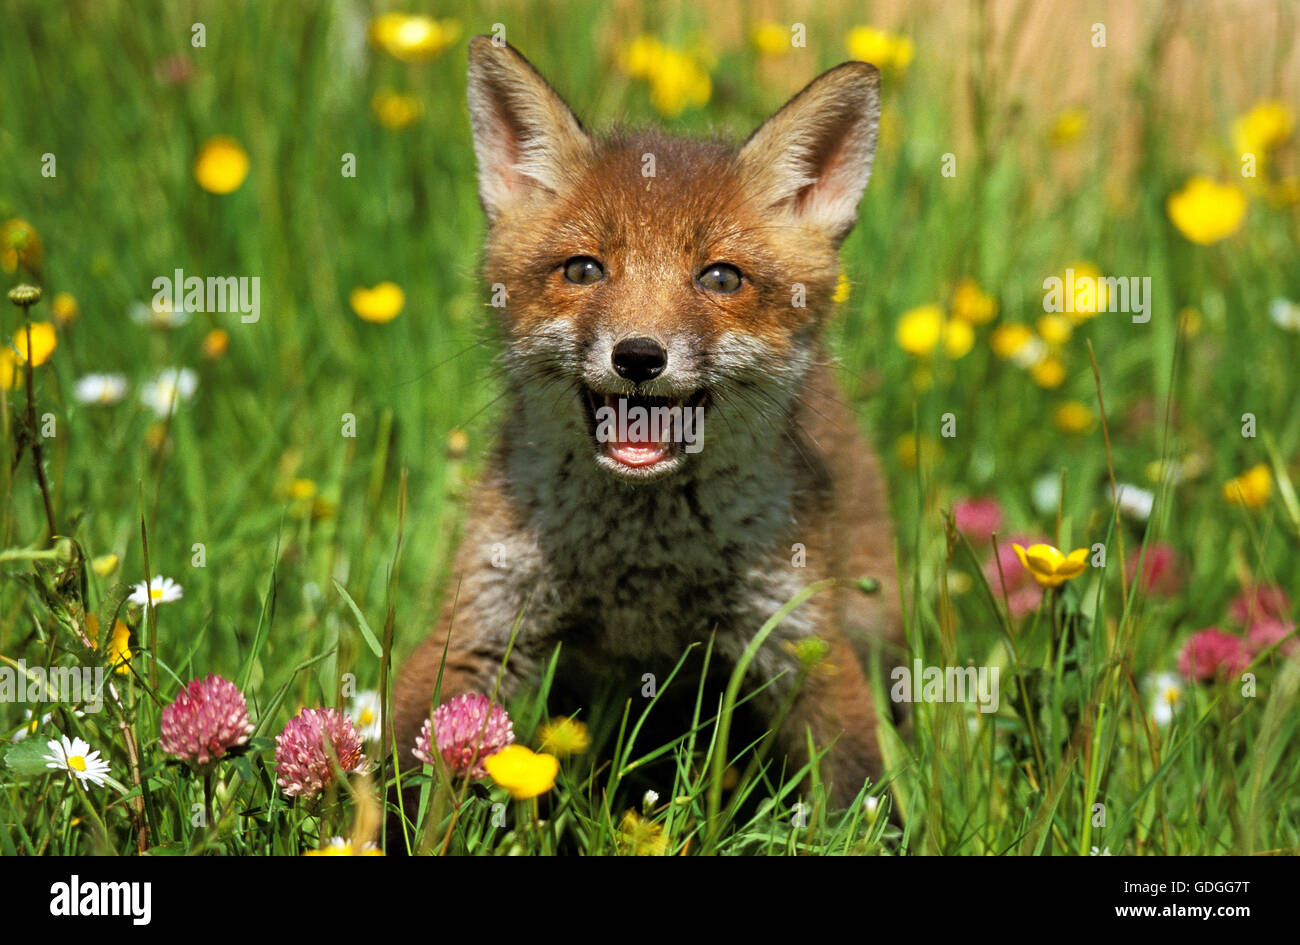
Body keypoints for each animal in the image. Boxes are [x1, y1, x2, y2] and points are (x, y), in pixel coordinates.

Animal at [392, 36, 903, 809]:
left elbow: (859, 794)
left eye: (720, 278)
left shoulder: (803, 641)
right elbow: (396, 771)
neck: (642, 566)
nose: (638, 356)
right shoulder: (480, 626)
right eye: (584, 269)